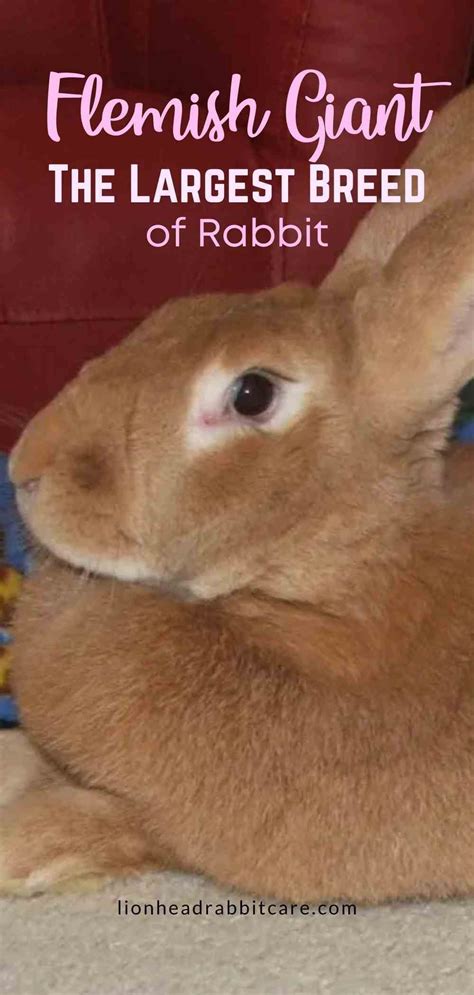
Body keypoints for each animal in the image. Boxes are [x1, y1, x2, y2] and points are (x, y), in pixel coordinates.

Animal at [0, 85, 473, 902]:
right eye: (167, 314)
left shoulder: (166, 828)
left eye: (251, 394)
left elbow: (94, 822)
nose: (27, 466)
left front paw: (19, 850)